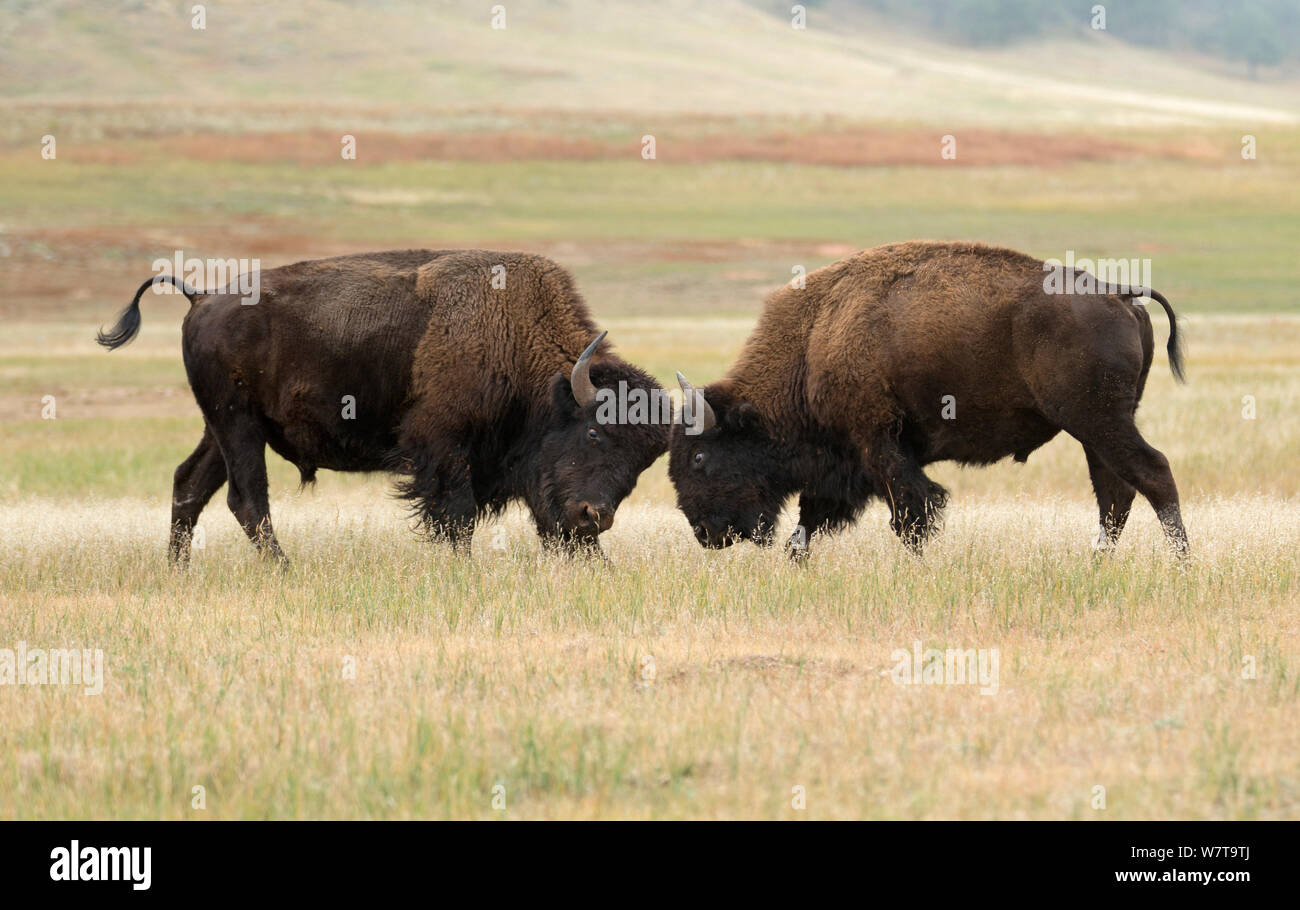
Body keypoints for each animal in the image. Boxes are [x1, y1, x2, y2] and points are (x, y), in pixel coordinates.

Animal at [96, 250, 670, 564]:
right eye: (595, 433)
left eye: (644, 463)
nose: (595, 517)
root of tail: (201, 297)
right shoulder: (444, 450)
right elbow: (456, 517)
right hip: (236, 424)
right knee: (247, 499)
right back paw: (285, 571)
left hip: (223, 428)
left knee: (190, 485)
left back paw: (179, 571)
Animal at [670, 241, 1189, 559]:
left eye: (698, 456)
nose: (705, 533)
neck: (814, 339)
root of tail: (1119, 294)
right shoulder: (845, 463)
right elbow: (810, 522)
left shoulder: (877, 443)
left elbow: (911, 513)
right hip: (1097, 428)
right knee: (1115, 493)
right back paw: (1097, 563)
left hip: (1098, 420)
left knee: (1152, 473)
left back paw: (1182, 563)